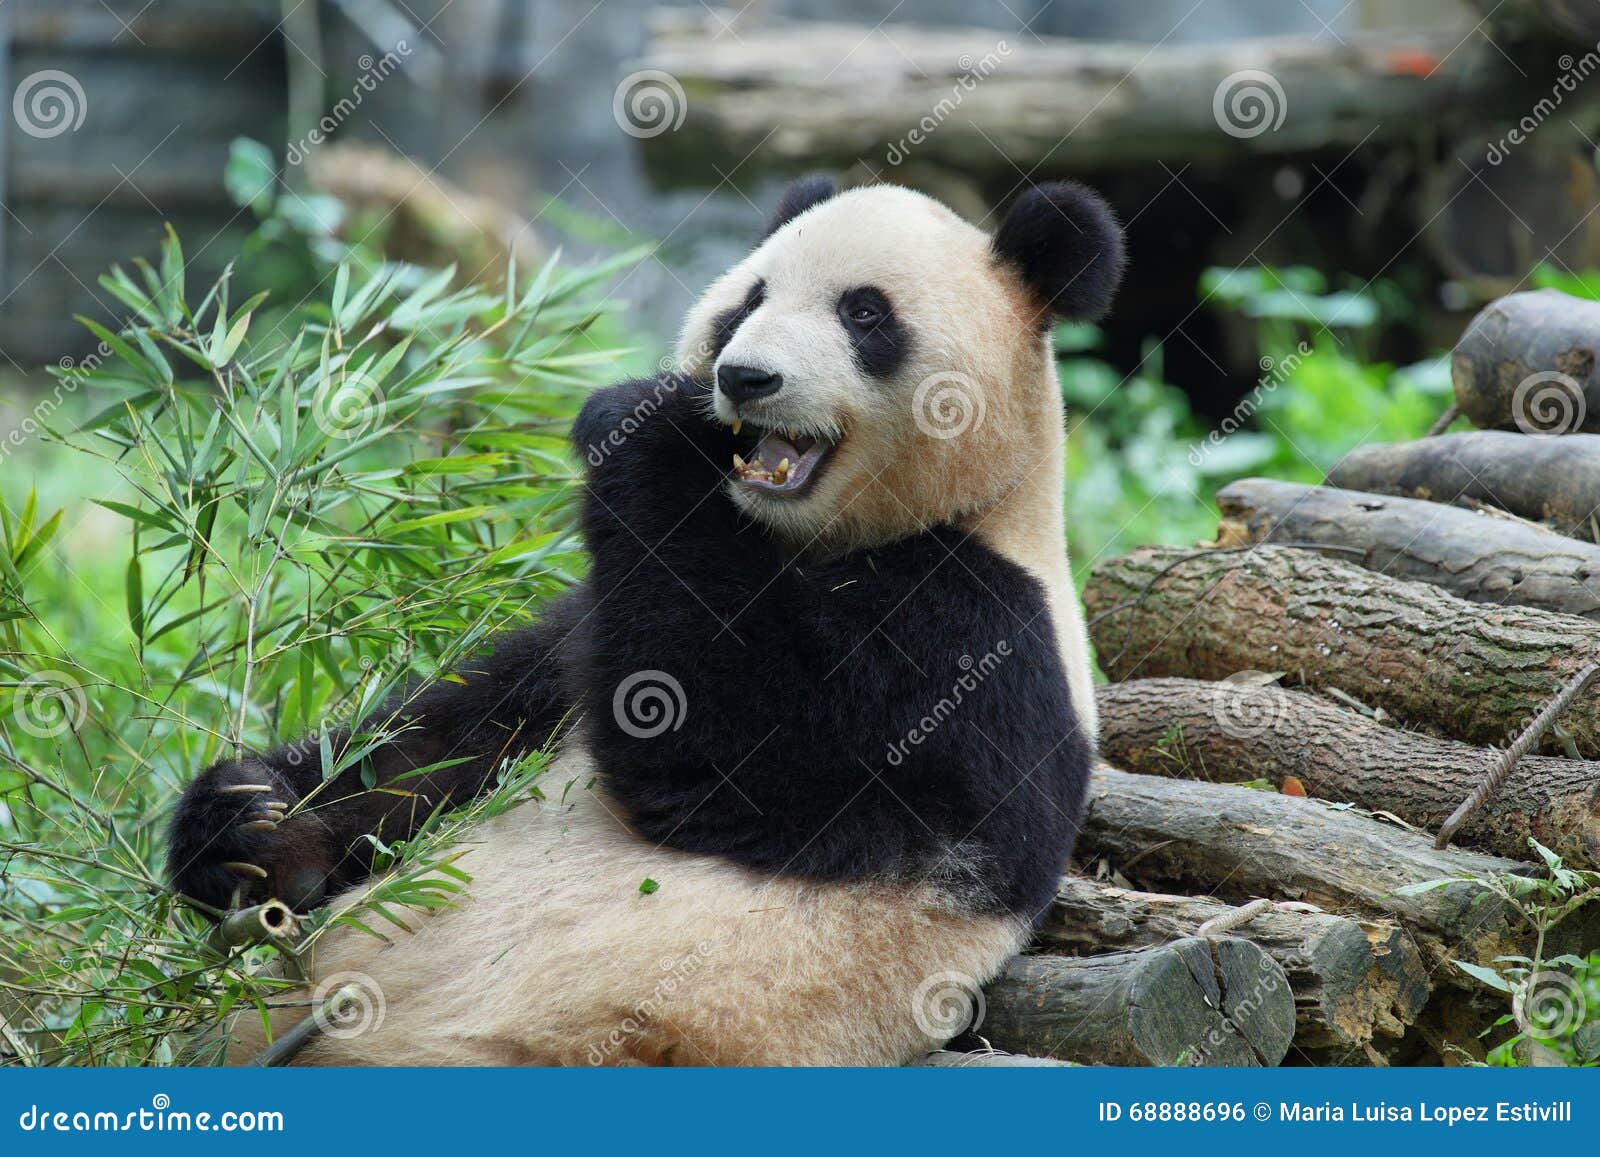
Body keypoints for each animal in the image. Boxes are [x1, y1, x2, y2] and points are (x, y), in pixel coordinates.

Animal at [167, 175, 1125, 1066]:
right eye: (750, 298)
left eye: (864, 312)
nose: (744, 376)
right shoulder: (584, 620)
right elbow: (441, 750)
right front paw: (247, 827)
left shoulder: (980, 641)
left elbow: (716, 744)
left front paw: (647, 424)